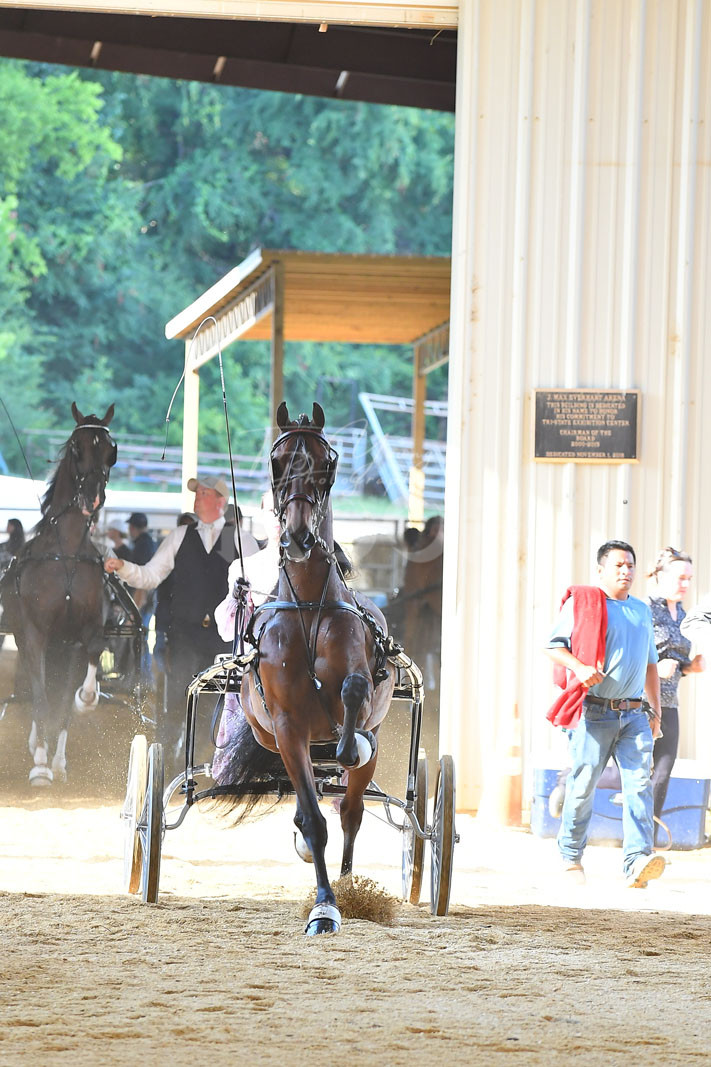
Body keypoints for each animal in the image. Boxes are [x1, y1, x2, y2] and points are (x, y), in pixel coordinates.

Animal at [9, 402, 117, 786]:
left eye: (111, 451)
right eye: (75, 447)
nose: (92, 498)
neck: (66, 552)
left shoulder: (81, 633)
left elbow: (76, 686)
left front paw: (87, 698)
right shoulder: (34, 633)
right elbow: (41, 696)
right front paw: (40, 764)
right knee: (34, 686)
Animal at [219, 402, 395, 935]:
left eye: (326, 464)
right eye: (277, 464)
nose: (298, 538)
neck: (308, 608)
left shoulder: (356, 681)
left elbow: (354, 692)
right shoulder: (288, 727)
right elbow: (313, 822)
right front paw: (324, 907)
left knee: (353, 810)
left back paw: (353, 884)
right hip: (272, 738)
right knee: (311, 807)